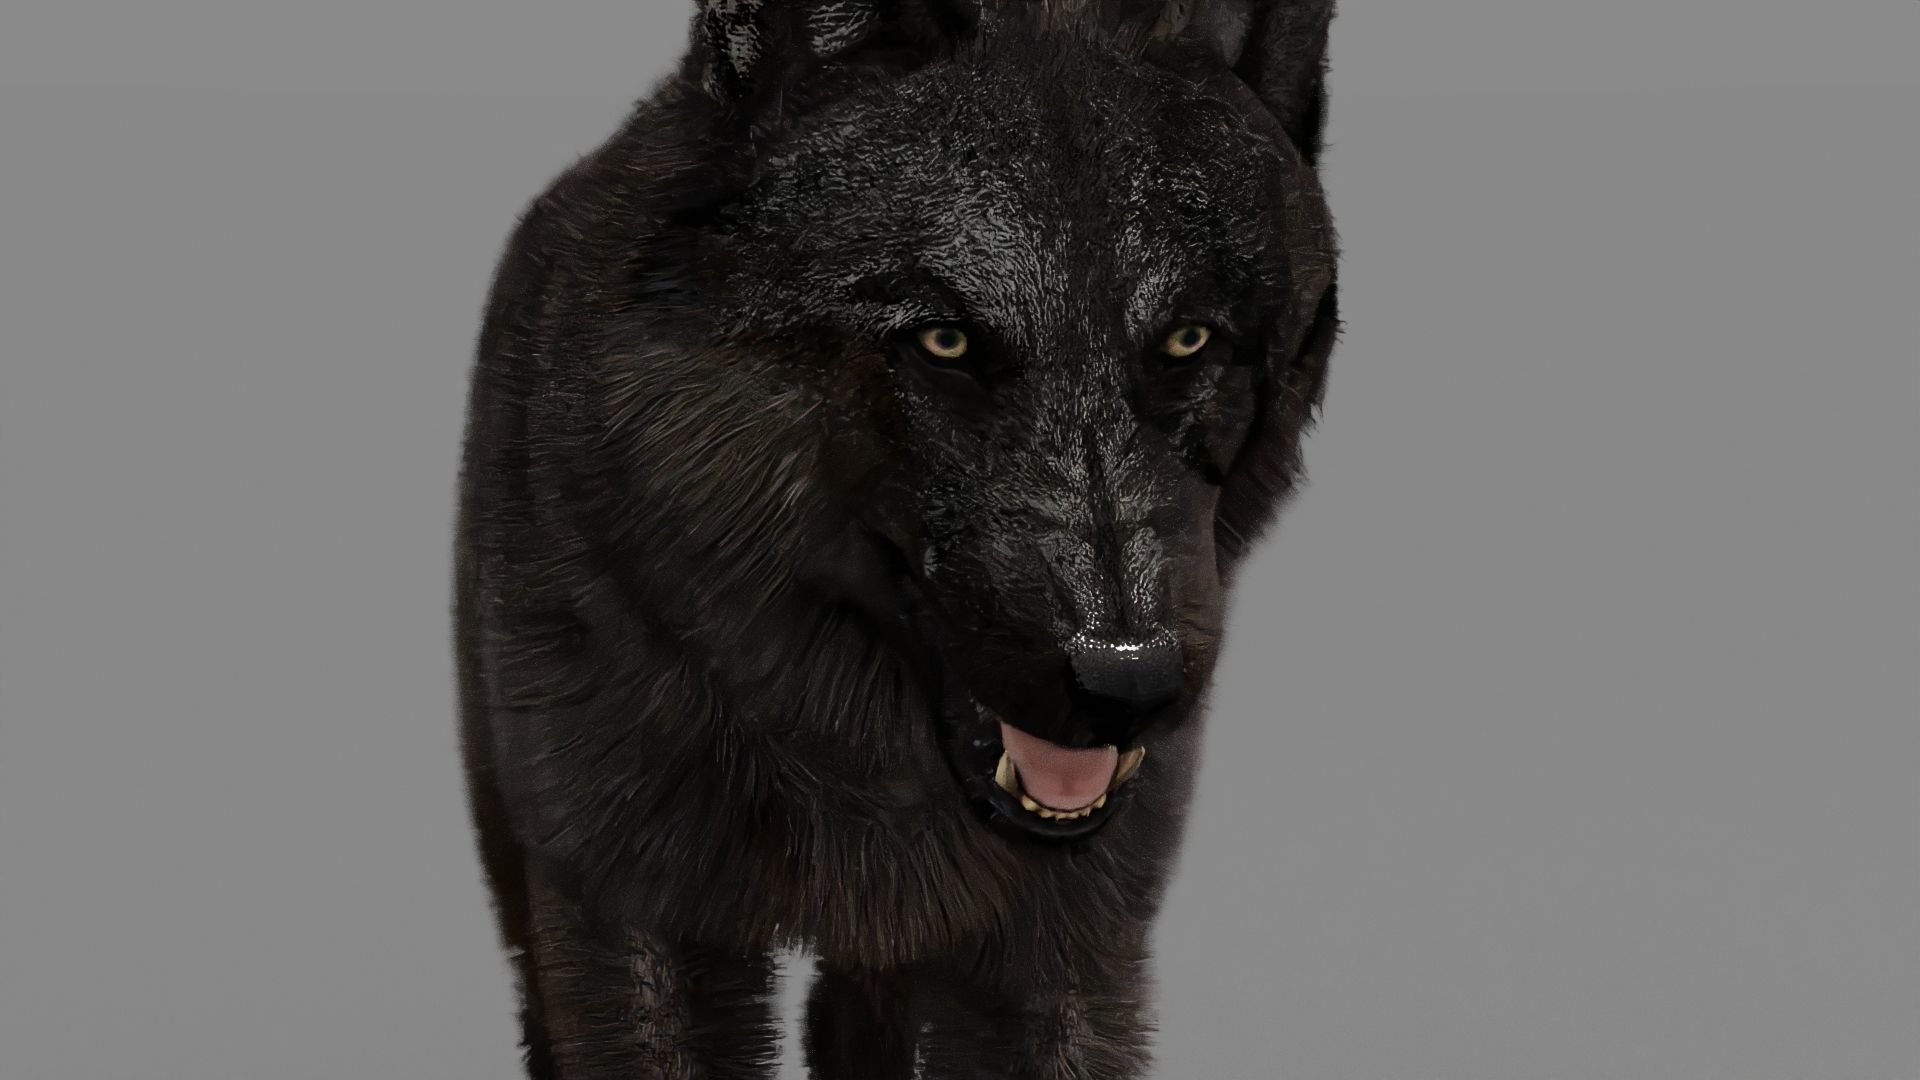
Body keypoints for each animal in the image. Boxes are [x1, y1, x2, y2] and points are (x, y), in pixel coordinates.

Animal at [454, 0, 1338, 1075]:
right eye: (945, 340)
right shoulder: (631, 913)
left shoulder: (1058, 947)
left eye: (1187, 339)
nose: (1127, 684)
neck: (843, 760)